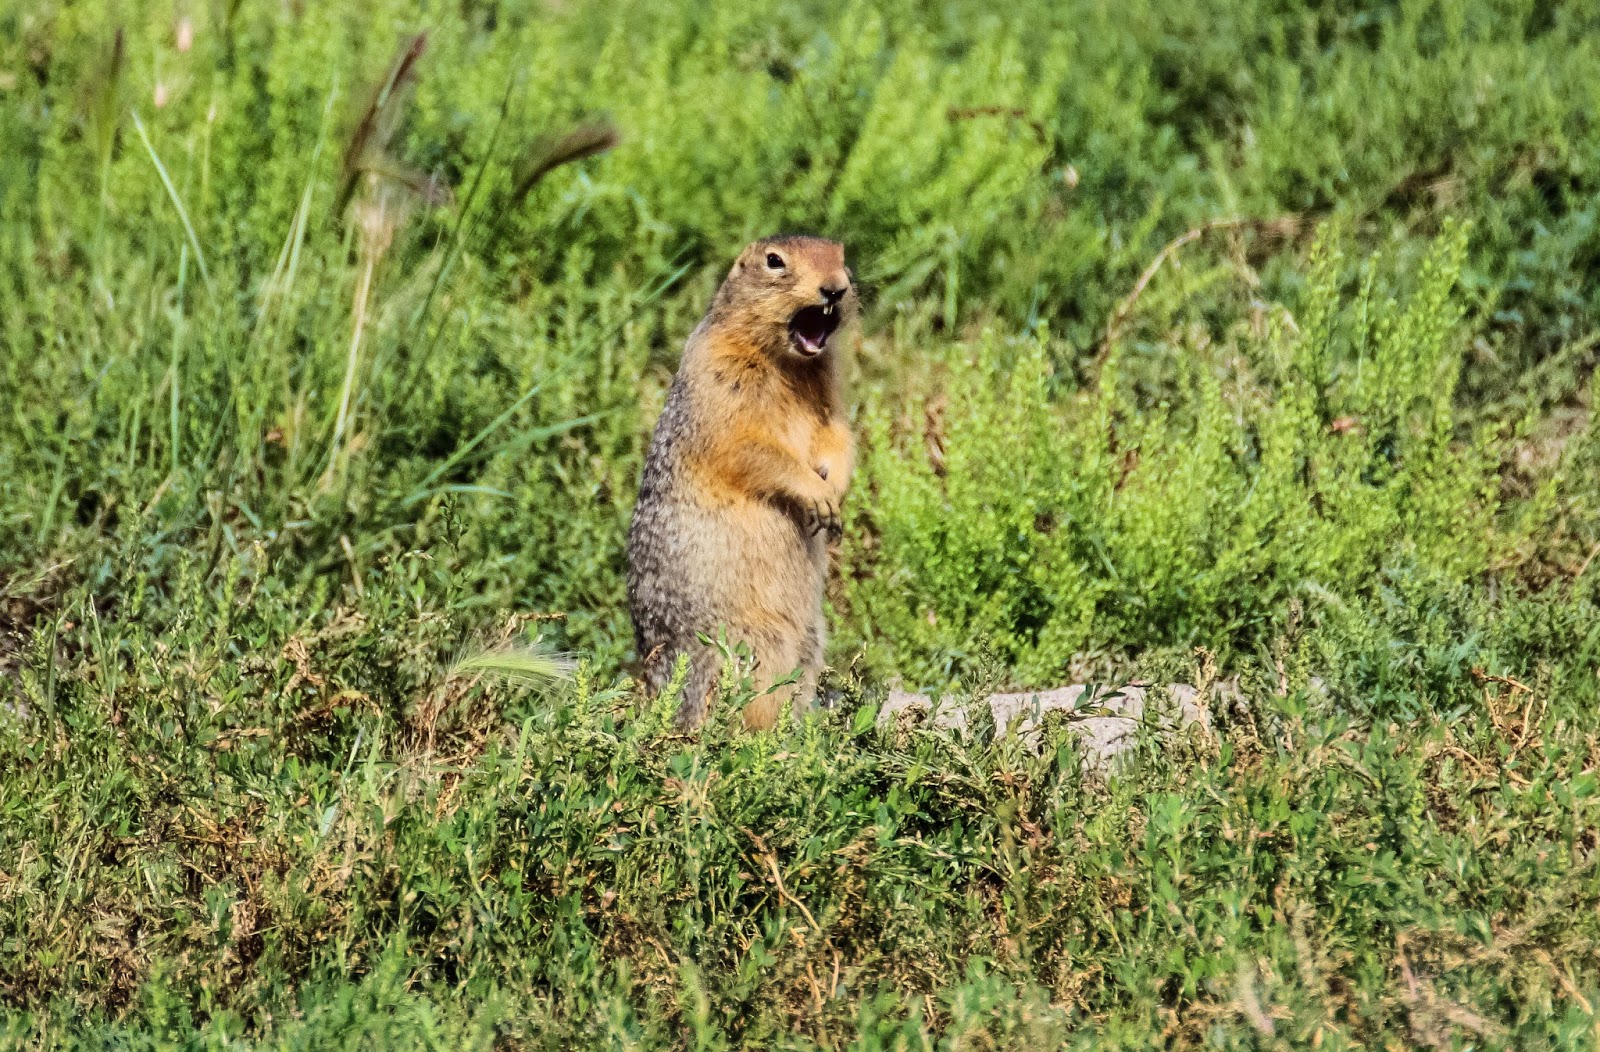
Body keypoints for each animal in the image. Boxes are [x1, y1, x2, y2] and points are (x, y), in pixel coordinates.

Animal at [627, 235, 857, 731]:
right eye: (774, 261)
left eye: (842, 256)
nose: (836, 288)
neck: (789, 364)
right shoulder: (721, 379)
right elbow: (751, 448)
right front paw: (817, 496)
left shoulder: (830, 393)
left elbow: (839, 436)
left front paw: (835, 491)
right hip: (753, 644)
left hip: (809, 642)